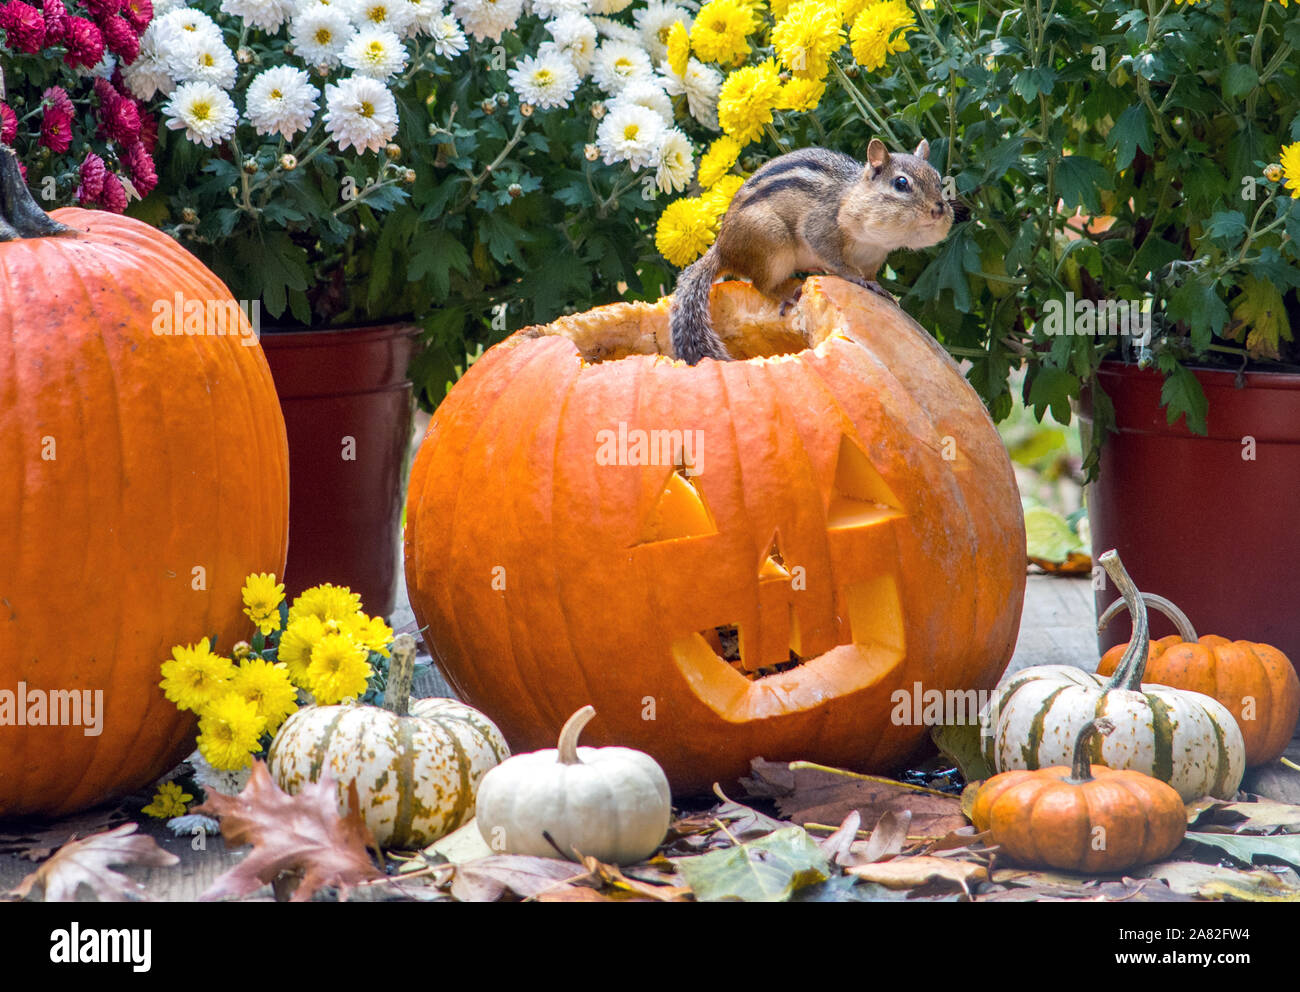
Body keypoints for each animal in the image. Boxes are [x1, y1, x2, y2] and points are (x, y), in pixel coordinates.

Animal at [669, 139, 954, 365]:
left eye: (938, 180)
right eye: (901, 183)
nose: (939, 209)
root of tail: (722, 248)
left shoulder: (875, 257)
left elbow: (872, 275)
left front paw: (884, 291)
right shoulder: (820, 229)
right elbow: (837, 260)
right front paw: (857, 278)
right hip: (772, 247)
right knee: (761, 284)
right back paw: (787, 294)